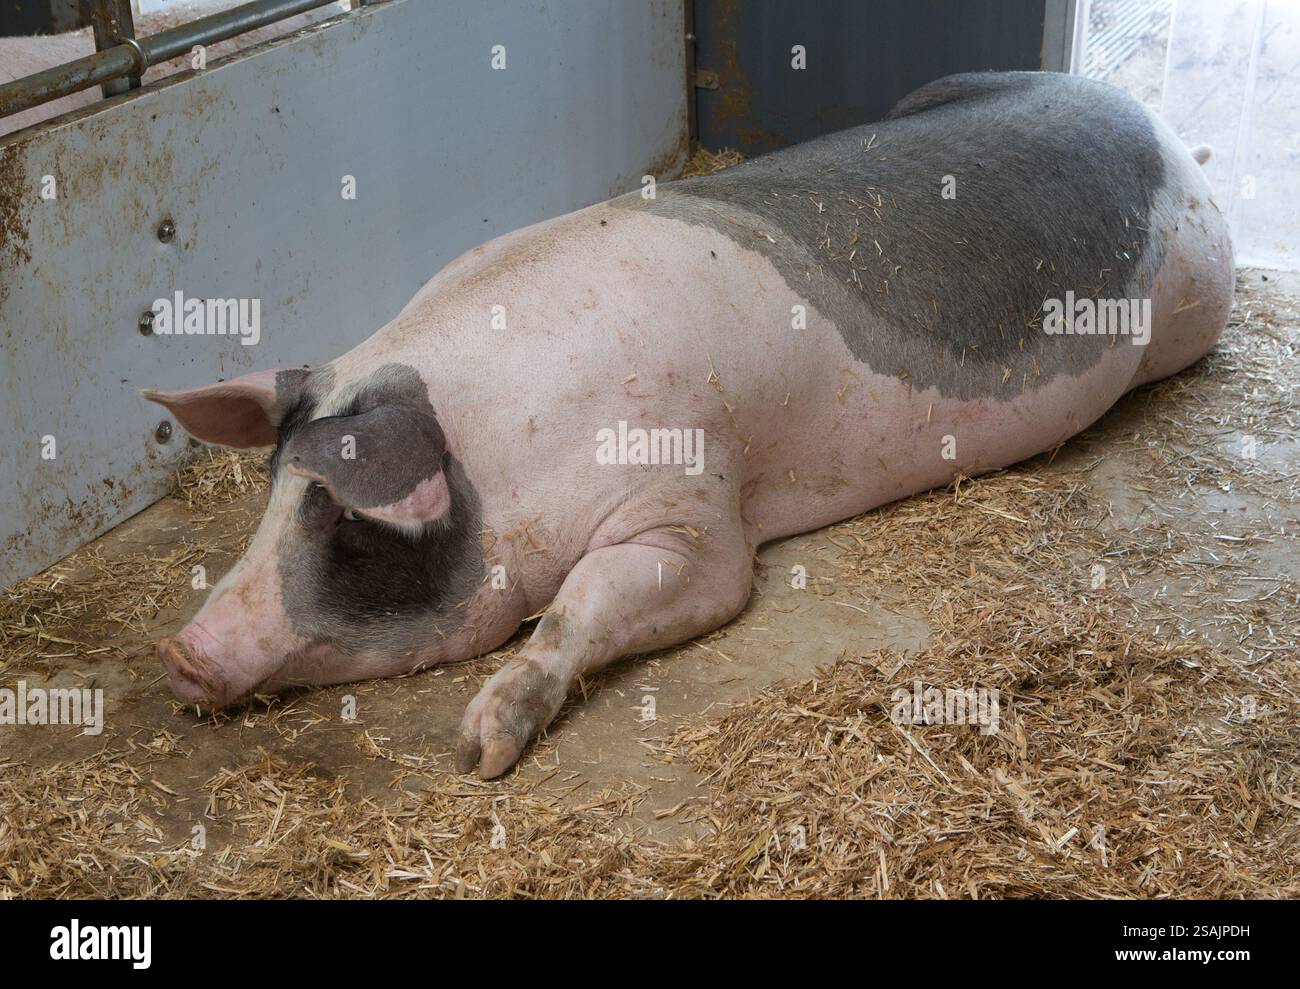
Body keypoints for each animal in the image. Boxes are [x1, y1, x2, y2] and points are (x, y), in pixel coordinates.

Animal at [144, 72, 1233, 778]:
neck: (502, 451)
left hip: (1191, 311)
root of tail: (1158, 125)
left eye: (341, 514)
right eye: (274, 491)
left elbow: (598, 598)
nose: (179, 654)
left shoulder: (692, 508)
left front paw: (478, 748)